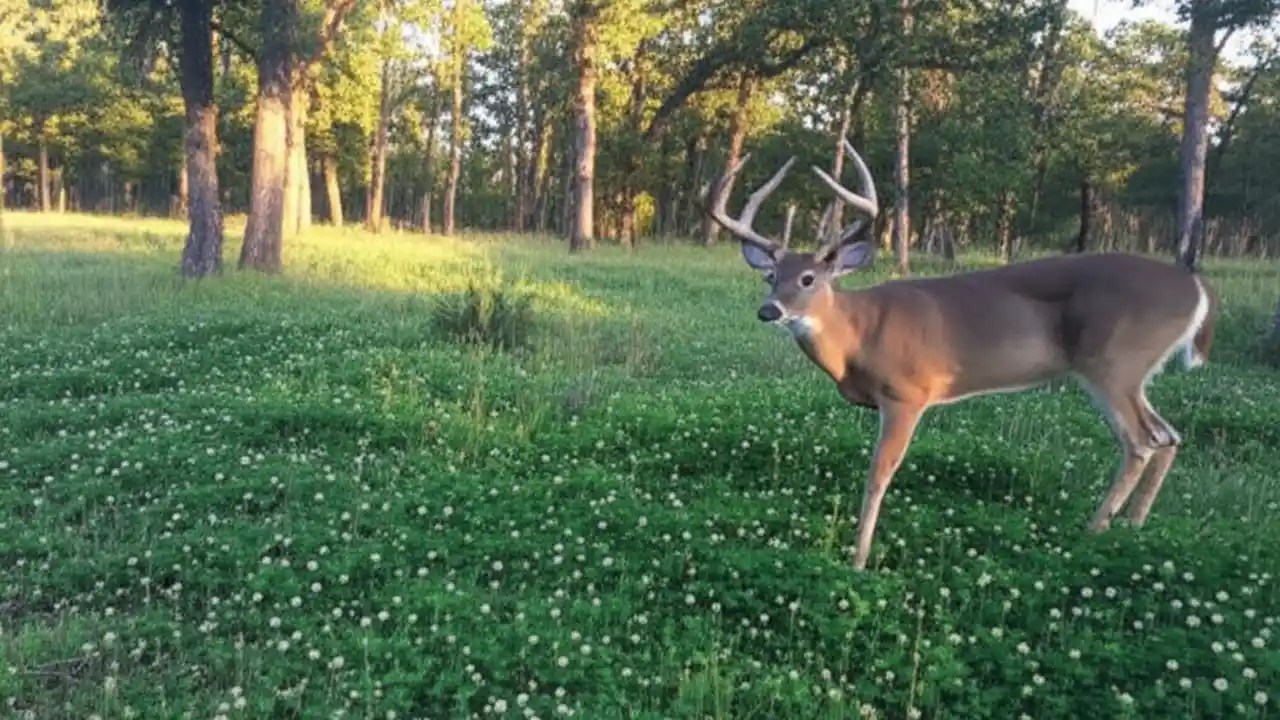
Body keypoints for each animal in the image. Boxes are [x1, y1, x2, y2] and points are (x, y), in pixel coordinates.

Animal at [706, 136, 1217, 571]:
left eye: (809, 278)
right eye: (771, 276)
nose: (769, 310)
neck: (859, 334)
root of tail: (1196, 289)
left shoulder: (907, 393)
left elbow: (878, 474)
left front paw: (858, 560)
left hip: (1113, 362)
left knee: (1141, 442)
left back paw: (1092, 532)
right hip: (1131, 373)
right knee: (1169, 435)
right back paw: (1132, 527)